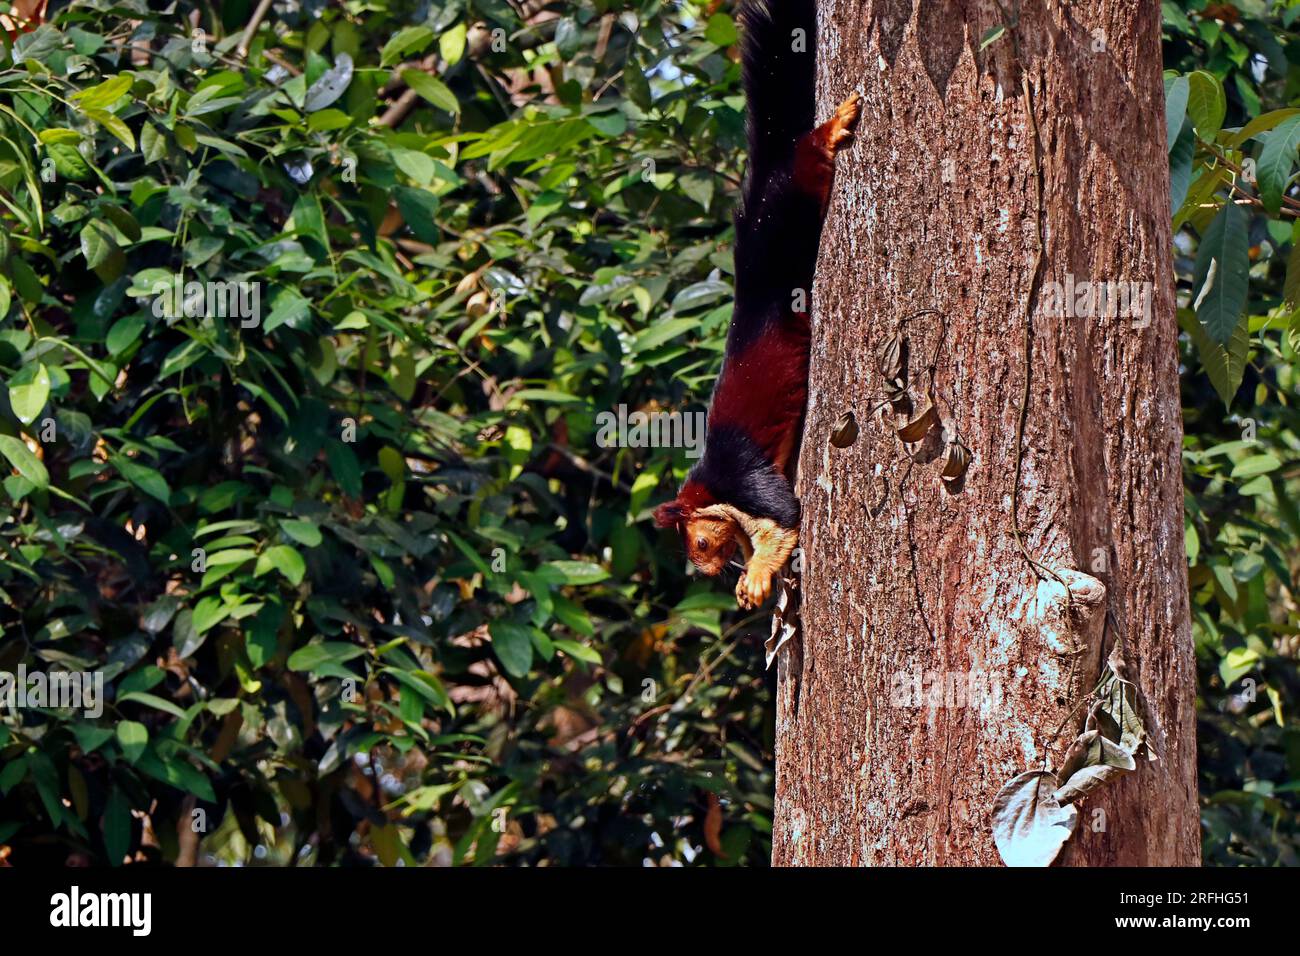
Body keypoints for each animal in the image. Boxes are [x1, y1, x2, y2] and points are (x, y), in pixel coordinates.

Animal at [654, 0, 859, 610]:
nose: (703, 572)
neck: (707, 487)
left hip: (787, 209)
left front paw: (757, 577)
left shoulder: (743, 477)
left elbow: (783, 519)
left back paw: (832, 126)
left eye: (698, 542)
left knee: (805, 158)